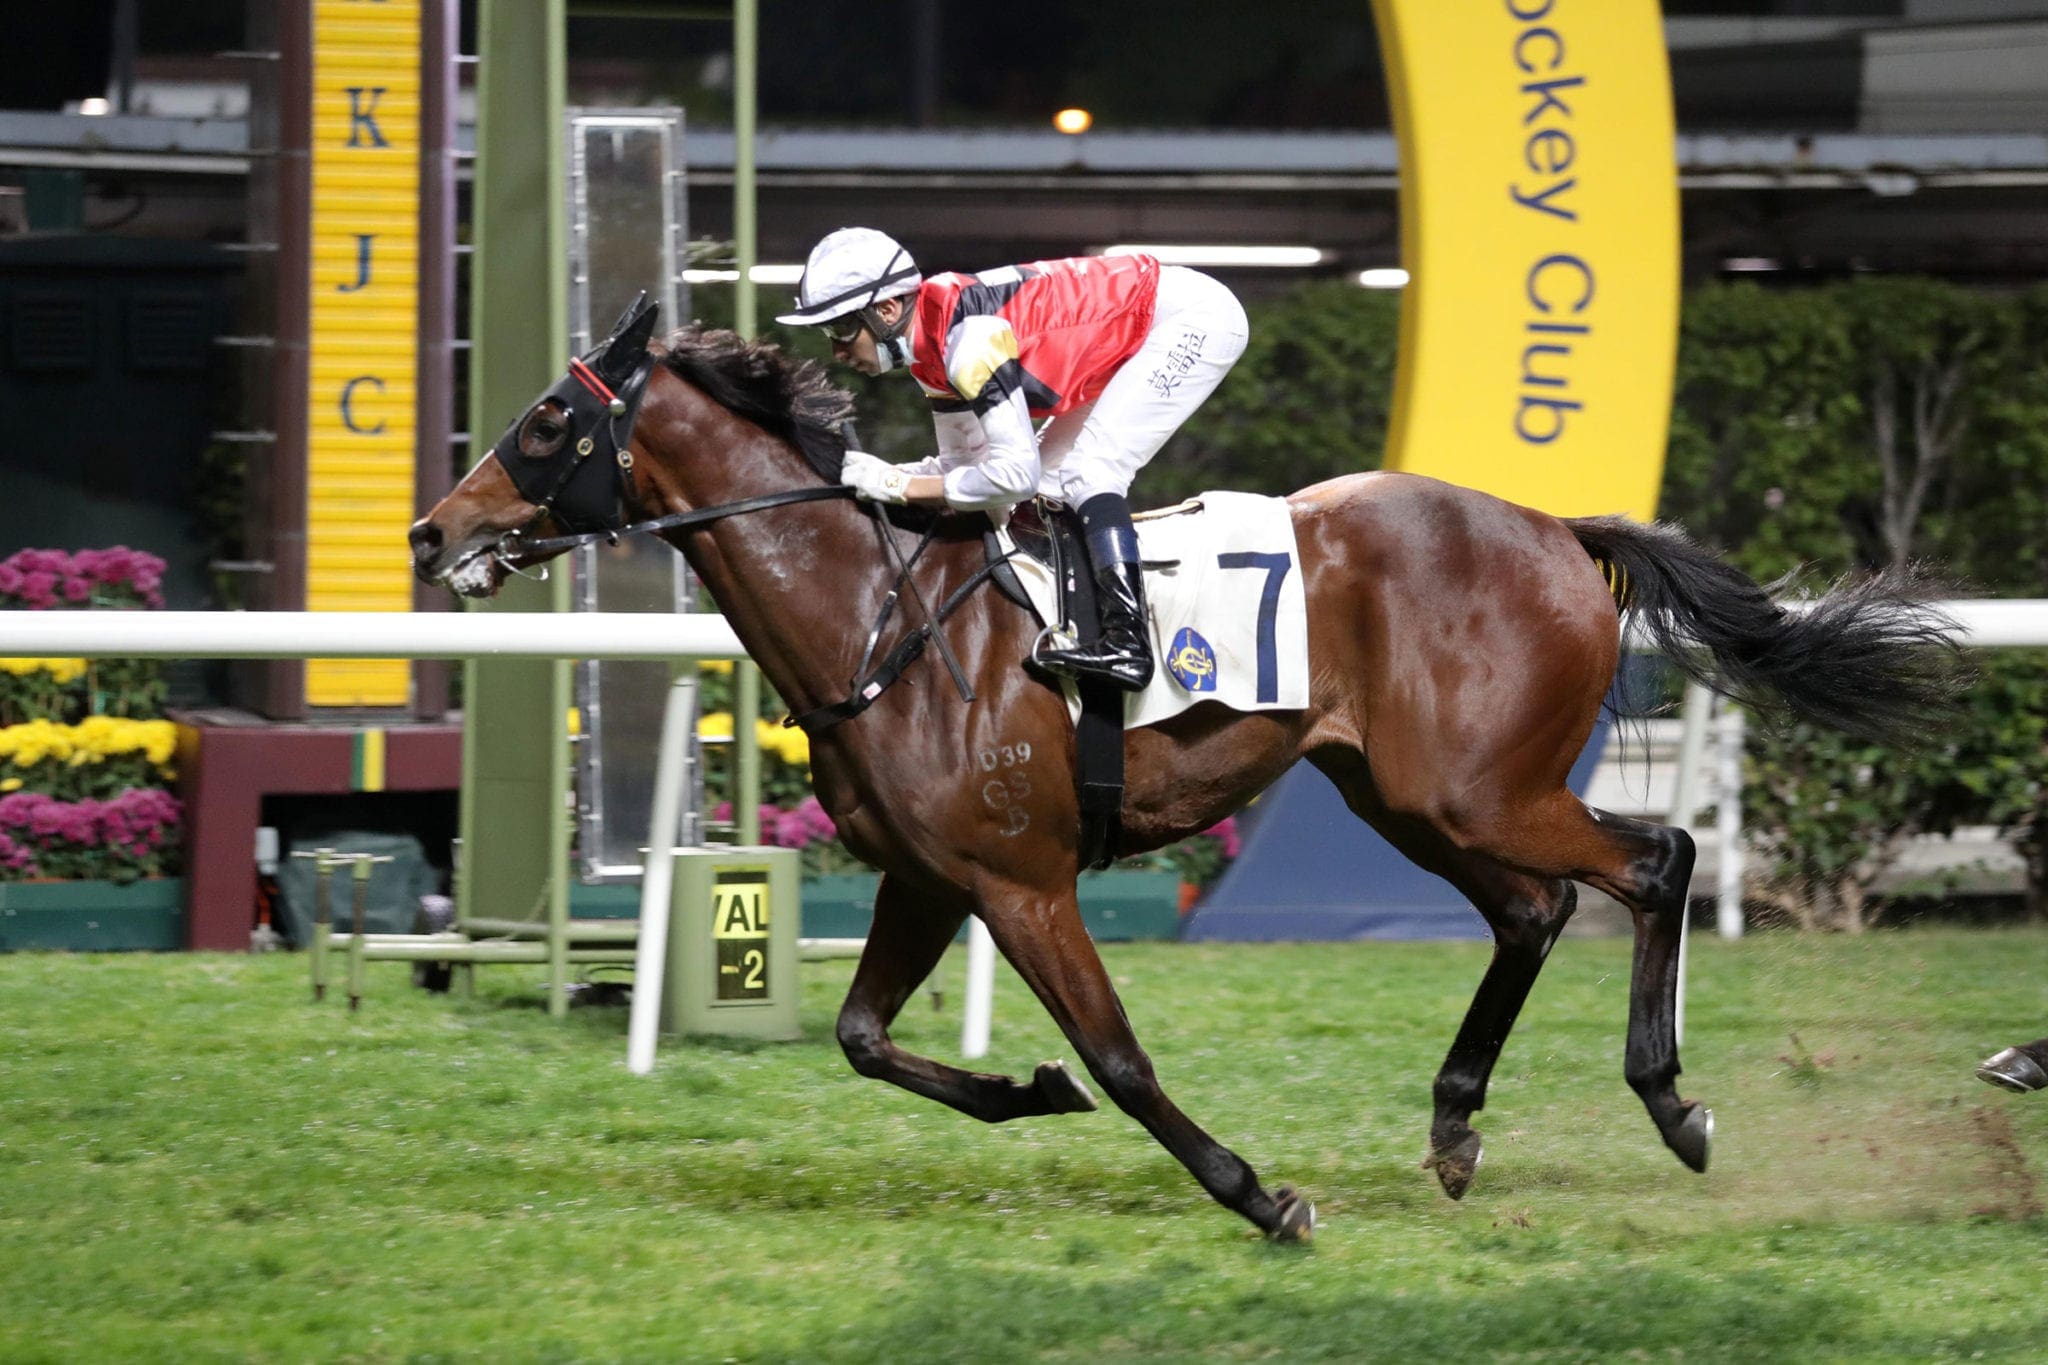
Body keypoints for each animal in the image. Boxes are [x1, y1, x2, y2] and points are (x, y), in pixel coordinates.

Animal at [410, 321, 1960, 1241]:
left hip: (1478, 790)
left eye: (545, 419)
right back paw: (1455, 1124)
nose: (434, 532)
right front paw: (1025, 1090)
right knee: (1531, 912)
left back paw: (1670, 1103)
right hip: (1402, 795)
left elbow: (1120, 1054)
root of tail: (1557, 531)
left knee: (1653, 863)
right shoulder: (928, 876)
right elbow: (859, 1038)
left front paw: (1255, 1194)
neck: (875, 619)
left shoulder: (1021, 881)